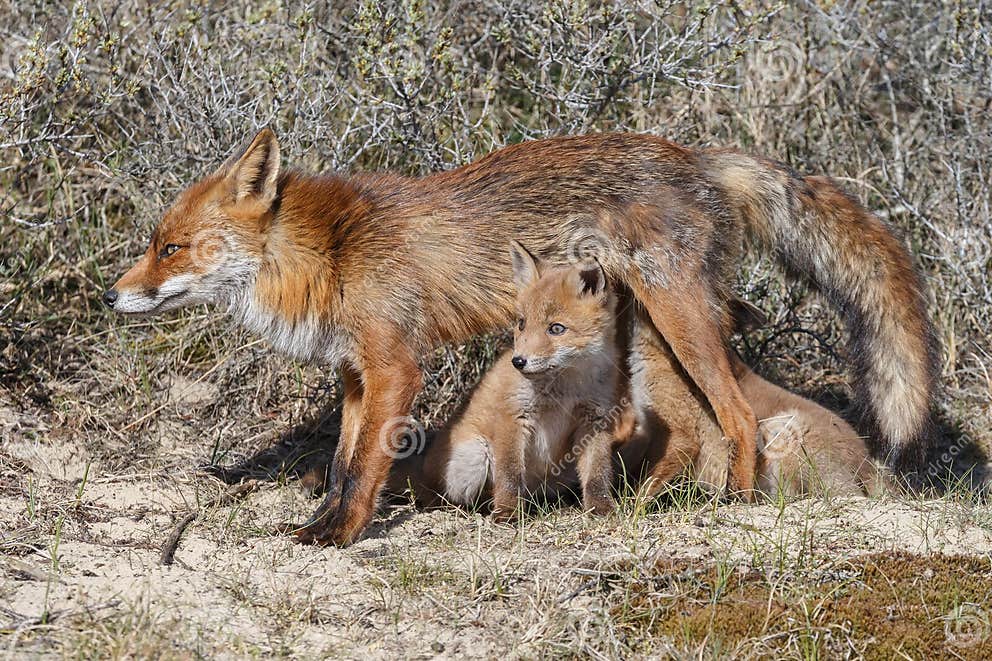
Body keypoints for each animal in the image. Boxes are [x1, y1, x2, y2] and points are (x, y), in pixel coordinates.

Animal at [390, 242, 620, 517]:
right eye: (521, 323)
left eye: (556, 329)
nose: (518, 361)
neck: (564, 388)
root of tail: (424, 470)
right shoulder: (513, 415)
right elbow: (510, 474)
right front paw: (508, 513)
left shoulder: (594, 419)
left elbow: (597, 475)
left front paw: (602, 508)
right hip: (475, 457)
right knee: (449, 495)